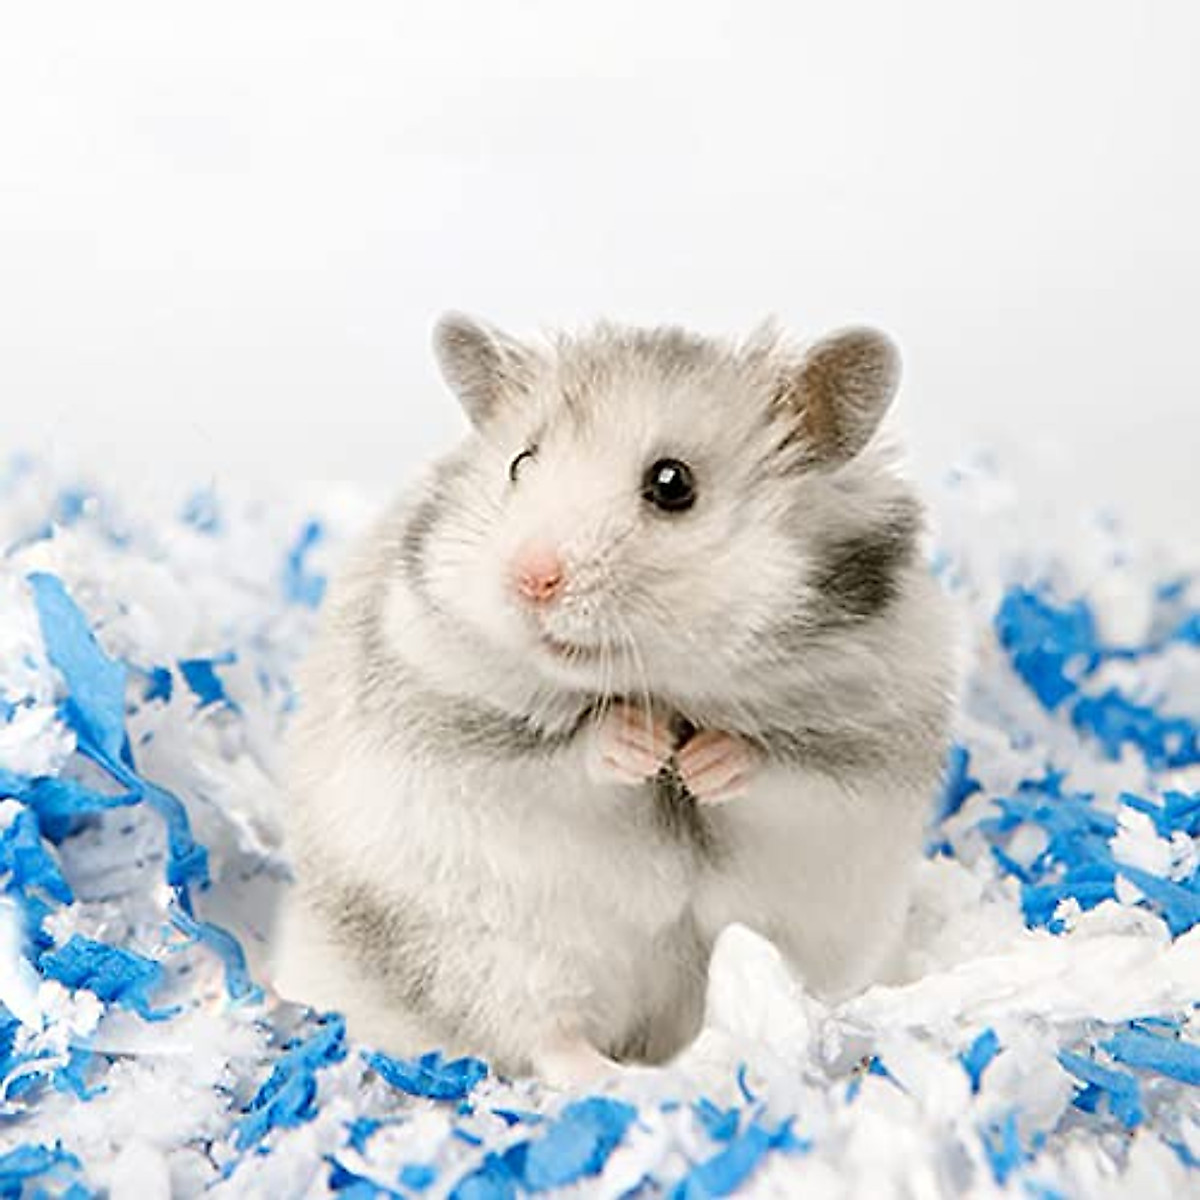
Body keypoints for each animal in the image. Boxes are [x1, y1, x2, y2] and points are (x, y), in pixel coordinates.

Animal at [272, 315, 955, 1086]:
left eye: (671, 483)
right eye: (520, 464)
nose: (529, 579)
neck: (664, 684)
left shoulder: (861, 748)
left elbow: (775, 767)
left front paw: (702, 762)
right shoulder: (459, 719)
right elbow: (567, 754)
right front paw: (644, 744)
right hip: (490, 952)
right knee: (546, 1037)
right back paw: (613, 1081)